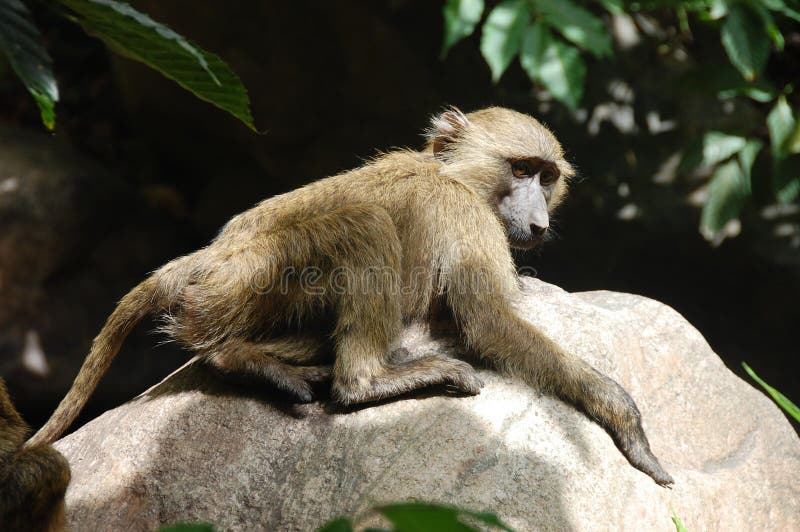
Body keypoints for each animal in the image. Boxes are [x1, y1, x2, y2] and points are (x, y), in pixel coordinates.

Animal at [27, 107, 673, 486]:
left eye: (548, 176)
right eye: (520, 169)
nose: (537, 225)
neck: (451, 174)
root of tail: (209, 259)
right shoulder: (467, 218)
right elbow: (490, 322)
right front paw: (626, 417)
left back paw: (247, 360)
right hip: (260, 274)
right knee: (366, 225)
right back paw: (369, 381)